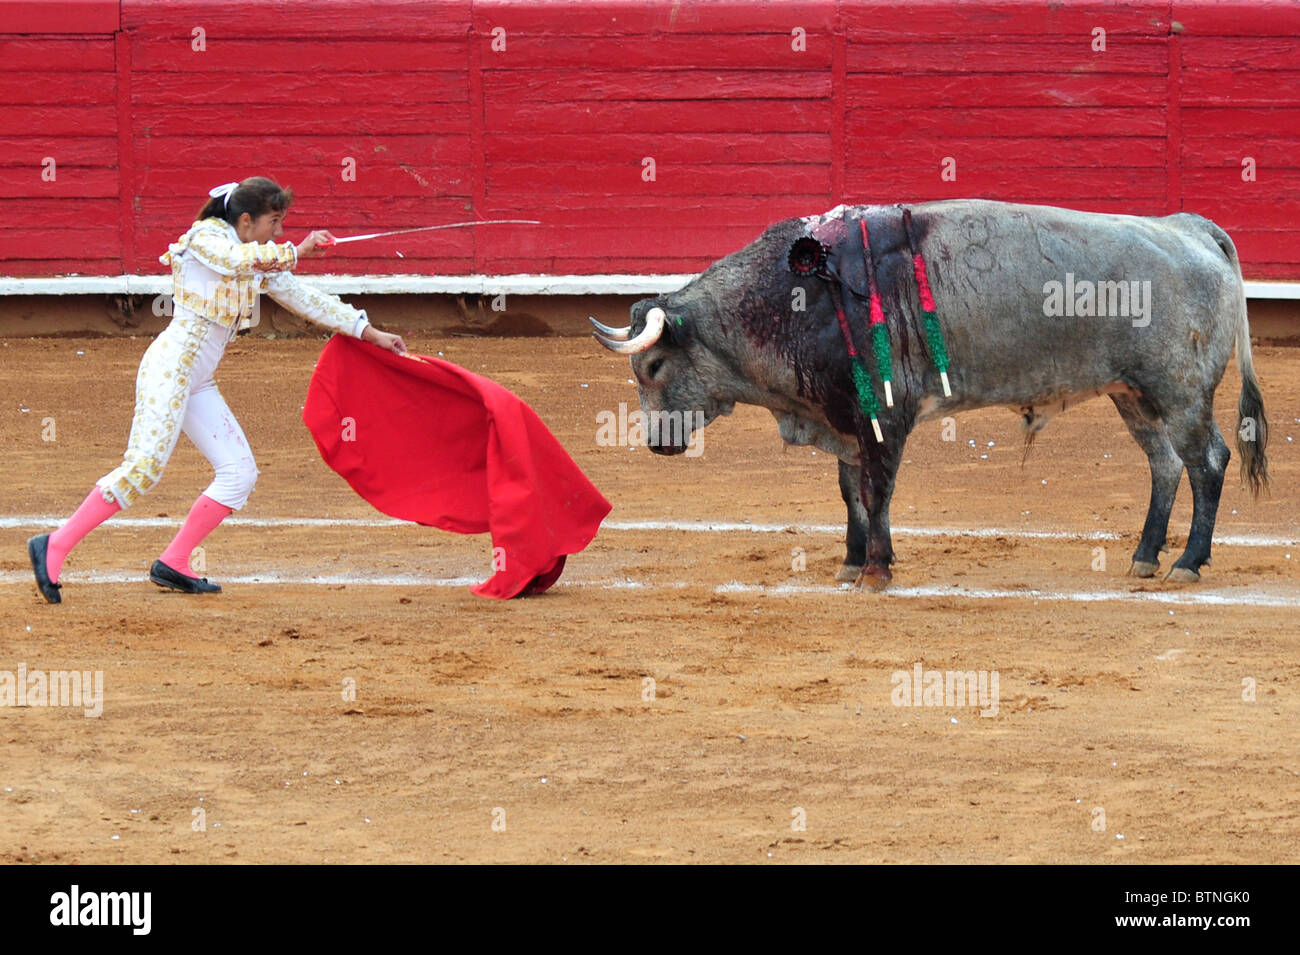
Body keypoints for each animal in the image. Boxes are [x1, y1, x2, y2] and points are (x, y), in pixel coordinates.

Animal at [591, 200, 1269, 589]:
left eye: (653, 364)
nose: (656, 445)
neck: (795, 296)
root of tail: (1188, 228)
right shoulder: (846, 417)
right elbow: (850, 491)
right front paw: (853, 559)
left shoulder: (884, 414)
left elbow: (876, 489)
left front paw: (876, 569)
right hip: (1134, 395)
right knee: (1165, 465)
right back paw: (1146, 555)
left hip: (1180, 393)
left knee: (1208, 462)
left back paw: (1187, 562)